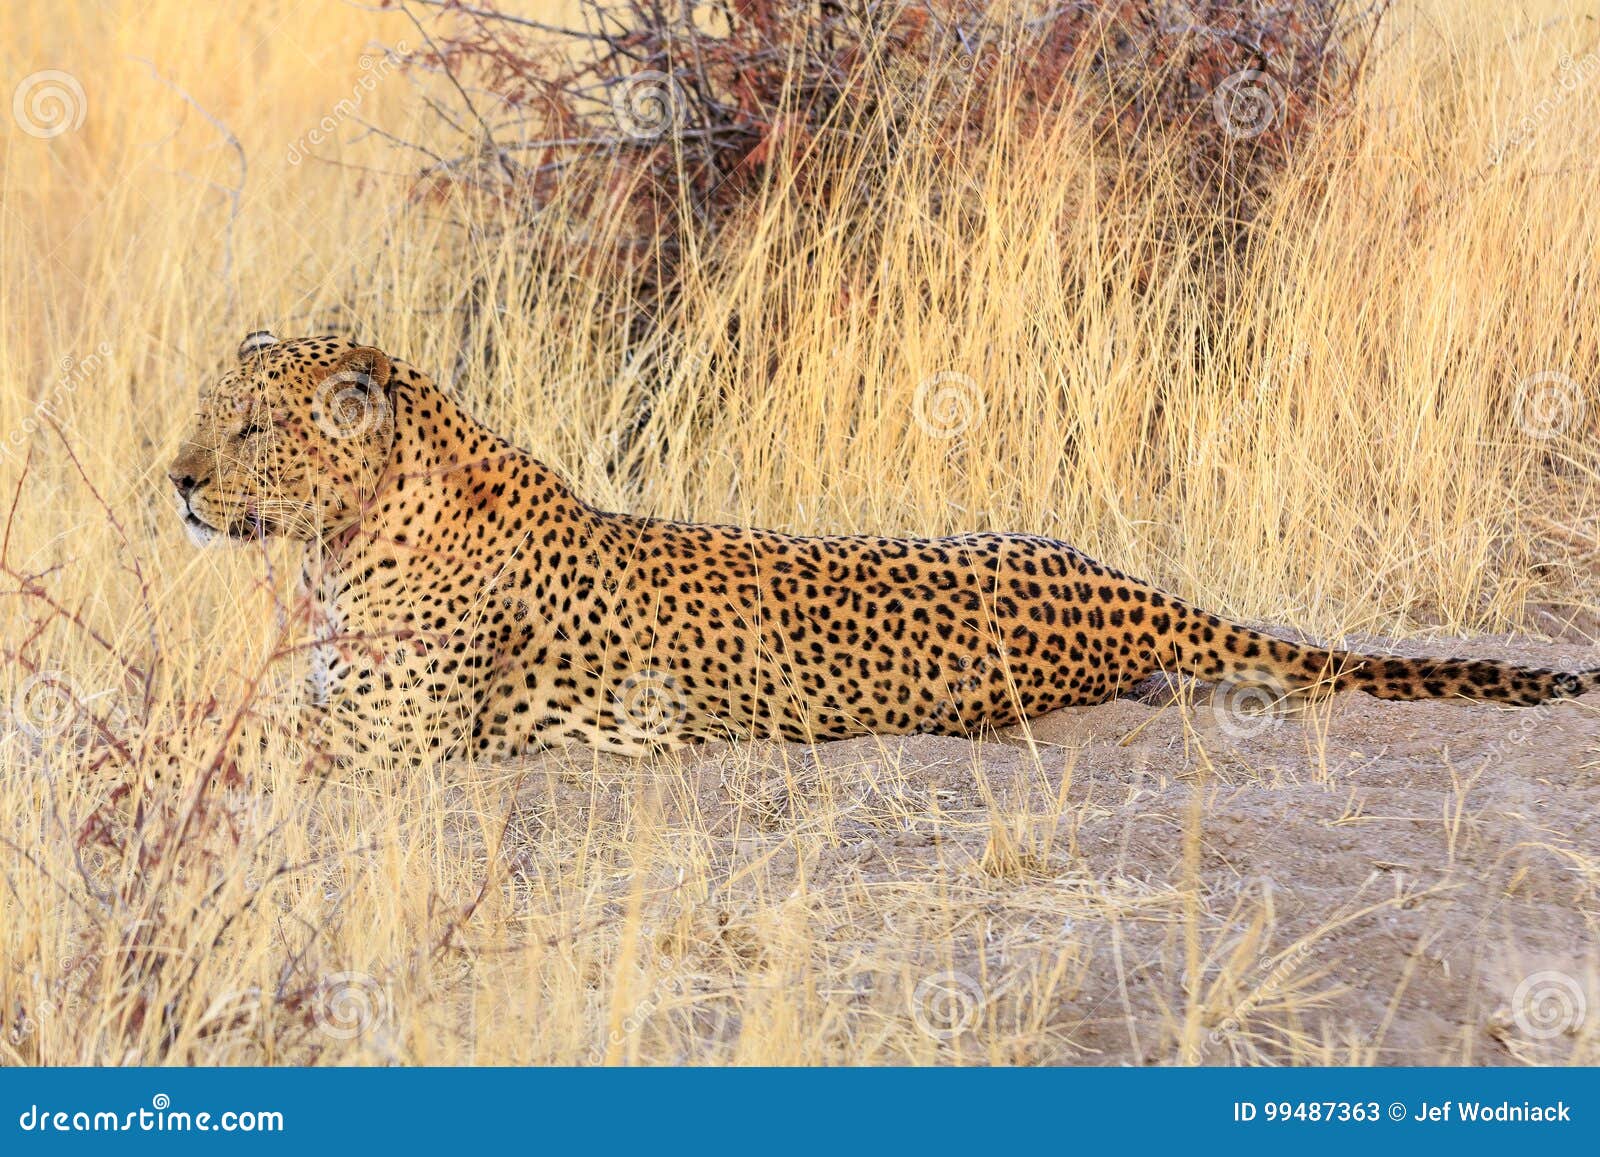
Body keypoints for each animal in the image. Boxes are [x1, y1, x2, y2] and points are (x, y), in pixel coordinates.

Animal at [165, 331, 1599, 764]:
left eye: (247, 427)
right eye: (203, 413)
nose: (174, 481)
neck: (351, 532)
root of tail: (1140, 592)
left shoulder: (384, 736)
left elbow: (216, 750)